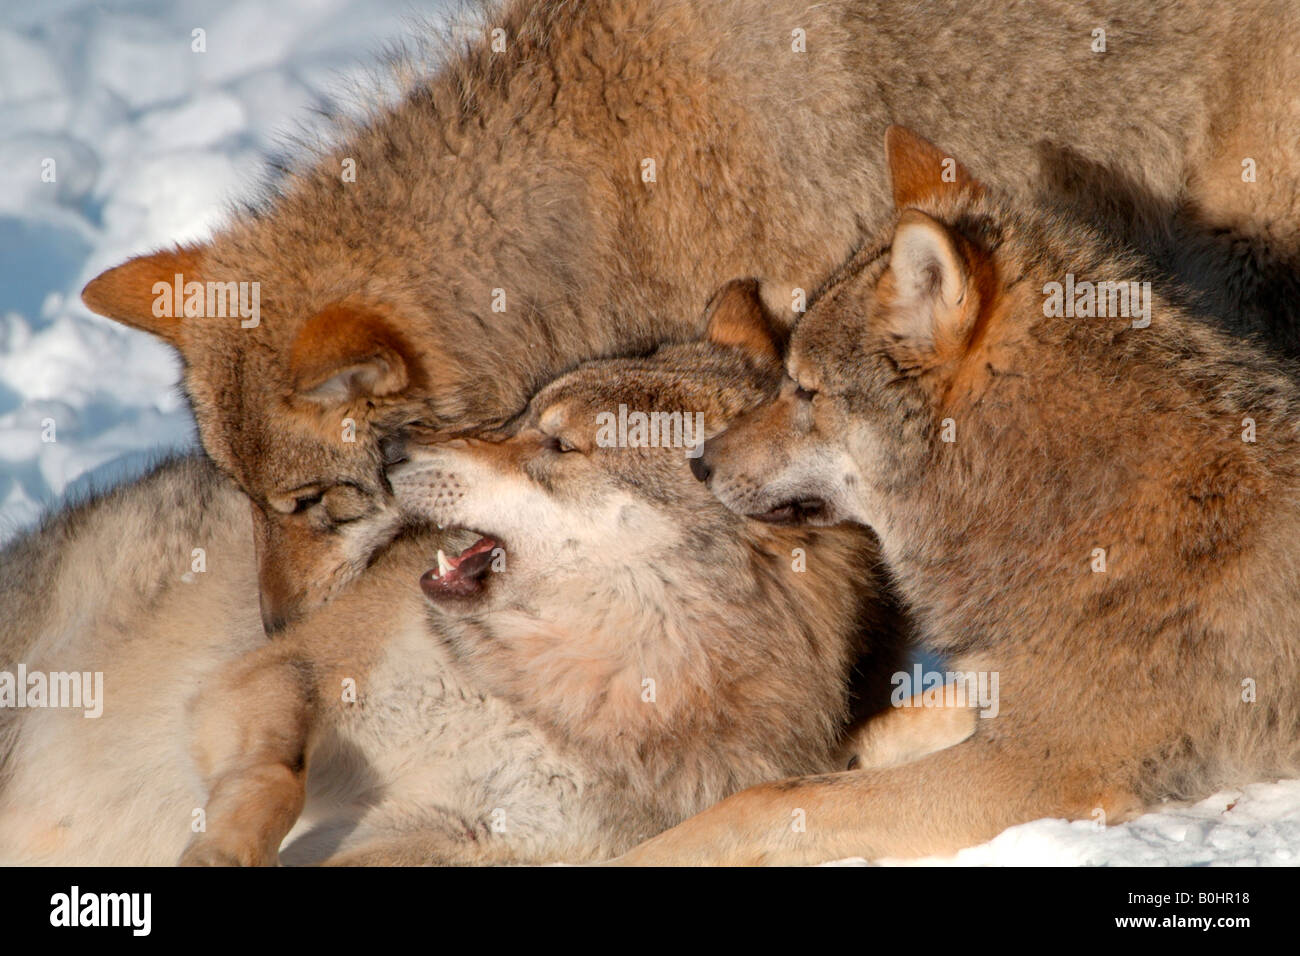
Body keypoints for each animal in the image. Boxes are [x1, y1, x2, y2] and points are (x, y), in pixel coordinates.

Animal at [1, 284, 952, 865]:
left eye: (560, 447)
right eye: (526, 412)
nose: (390, 448)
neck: (546, 693)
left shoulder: (463, 838)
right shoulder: (275, 671)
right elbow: (274, 778)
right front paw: (222, 852)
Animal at [614, 128, 1300, 865]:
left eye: (802, 389)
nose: (700, 461)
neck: (1060, 499)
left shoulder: (1035, 774)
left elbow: (767, 800)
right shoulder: (992, 686)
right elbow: (869, 735)